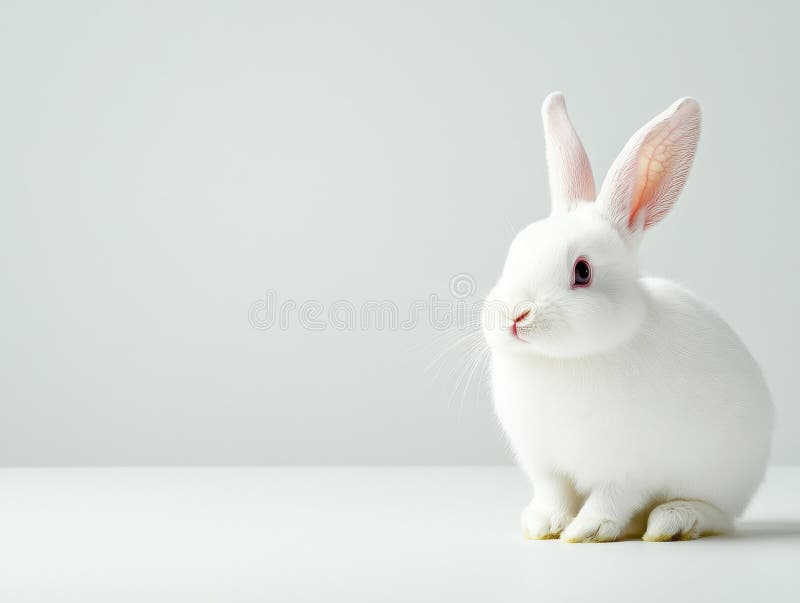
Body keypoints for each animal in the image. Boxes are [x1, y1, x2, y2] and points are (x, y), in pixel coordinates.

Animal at [481, 92, 773, 542]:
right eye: (515, 252)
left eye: (582, 271)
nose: (514, 317)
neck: (562, 361)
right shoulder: (546, 466)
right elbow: (554, 495)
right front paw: (543, 525)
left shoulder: (629, 468)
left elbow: (610, 499)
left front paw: (587, 531)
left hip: (721, 479)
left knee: (718, 515)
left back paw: (673, 520)